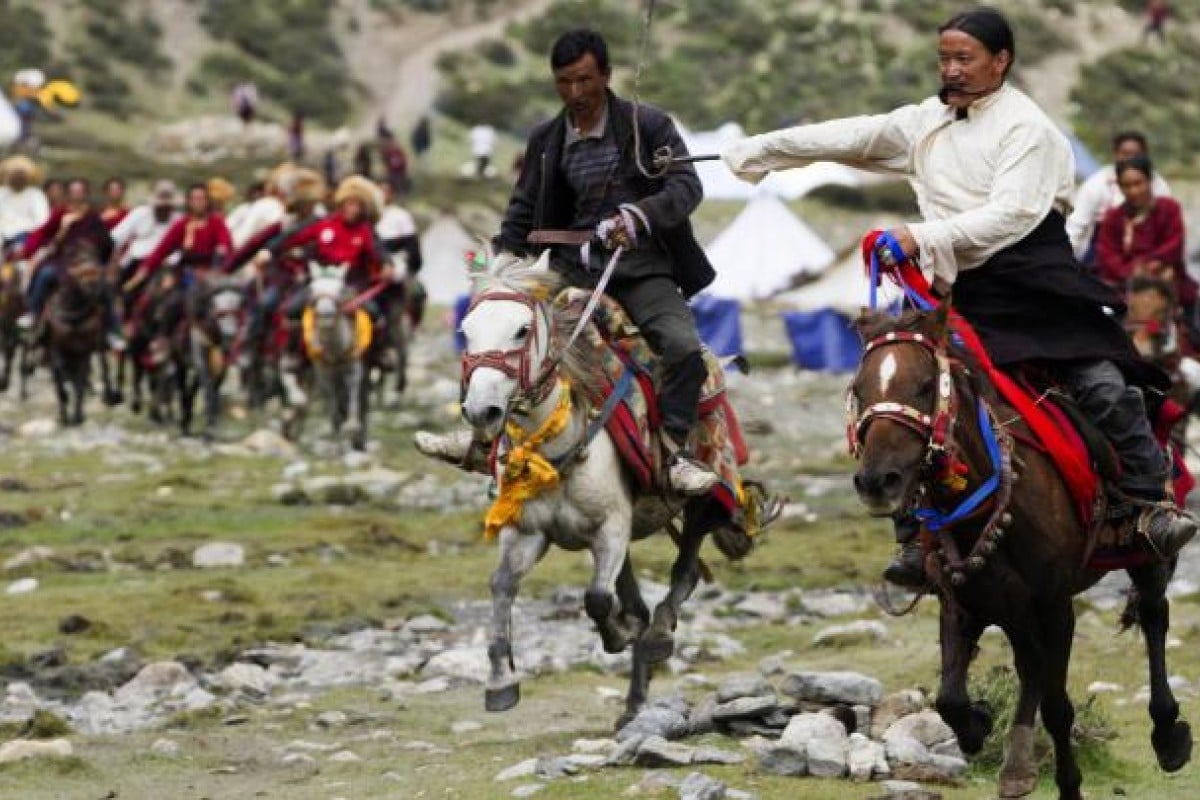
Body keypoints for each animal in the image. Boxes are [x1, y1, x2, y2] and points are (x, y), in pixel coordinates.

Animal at [454, 251, 761, 724]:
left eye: (521, 330)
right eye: (466, 331)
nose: (480, 411)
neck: (557, 441)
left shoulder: (611, 528)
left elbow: (597, 598)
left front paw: (619, 634)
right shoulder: (527, 532)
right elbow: (501, 585)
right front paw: (501, 682)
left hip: (704, 494)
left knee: (685, 570)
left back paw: (656, 636)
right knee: (639, 596)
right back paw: (634, 701)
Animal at [849, 306, 1191, 800]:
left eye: (925, 386)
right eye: (859, 390)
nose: (877, 481)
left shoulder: (1054, 605)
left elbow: (1058, 707)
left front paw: (1069, 785)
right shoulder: (961, 601)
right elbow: (950, 698)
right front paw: (980, 723)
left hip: (1144, 555)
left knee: (1152, 616)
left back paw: (1168, 736)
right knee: (1029, 662)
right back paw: (1017, 765)